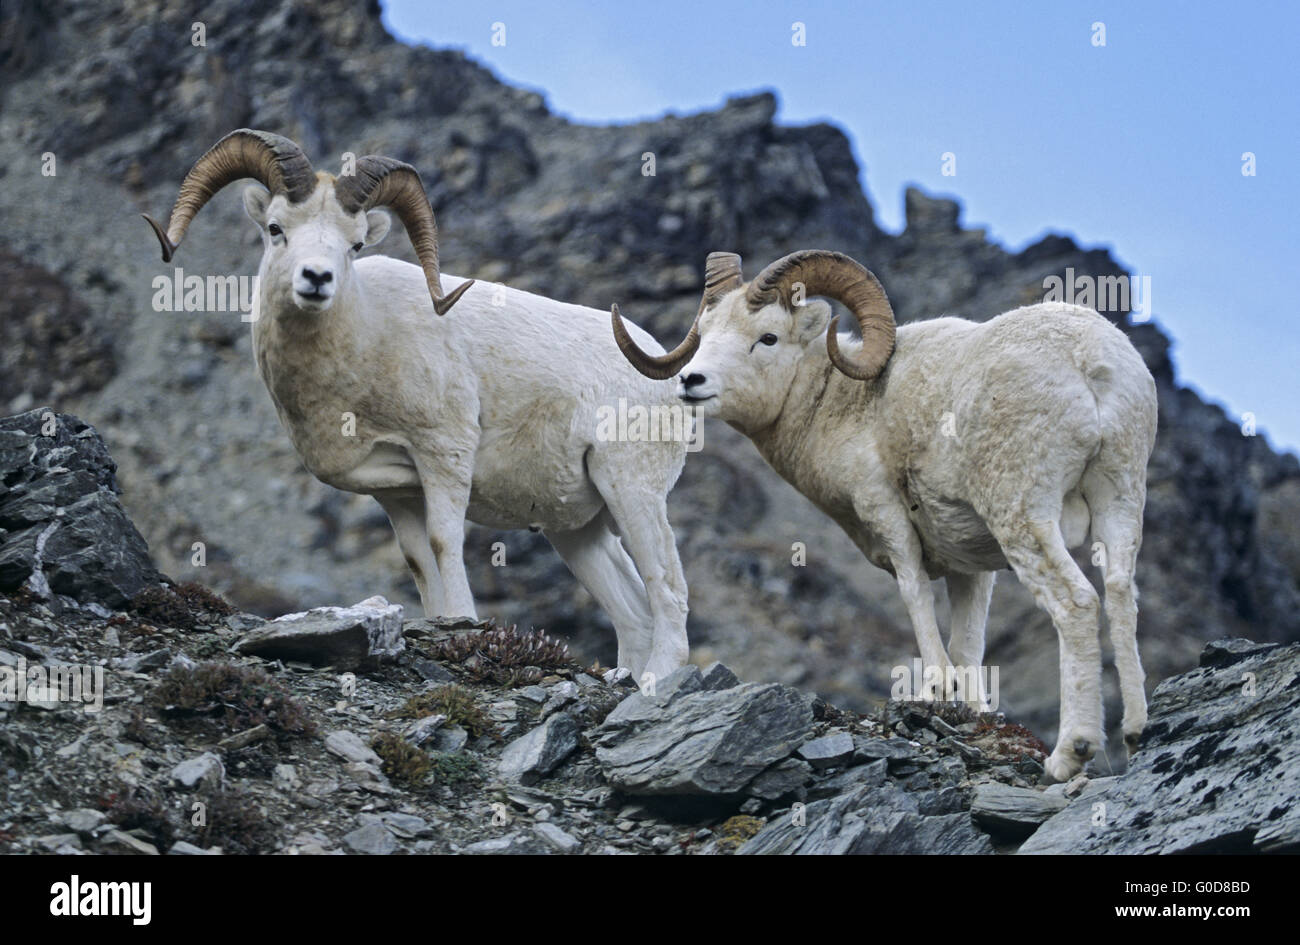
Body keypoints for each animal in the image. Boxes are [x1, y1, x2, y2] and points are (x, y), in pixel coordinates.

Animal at [141, 129, 691, 680]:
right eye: (277, 229)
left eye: (355, 243)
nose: (316, 279)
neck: (366, 340)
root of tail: (670, 374)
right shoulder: (397, 492)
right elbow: (419, 561)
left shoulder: (444, 456)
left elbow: (445, 543)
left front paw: (464, 625)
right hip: (578, 529)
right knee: (634, 612)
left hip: (631, 491)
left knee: (667, 589)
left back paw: (655, 682)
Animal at [612, 249, 1158, 781]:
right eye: (704, 335)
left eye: (766, 337)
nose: (691, 381)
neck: (839, 405)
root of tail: (1089, 363)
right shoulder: (973, 564)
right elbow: (969, 642)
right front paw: (972, 708)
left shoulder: (886, 514)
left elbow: (915, 593)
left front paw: (936, 690)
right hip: (1120, 500)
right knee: (1121, 594)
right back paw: (1135, 733)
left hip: (1023, 513)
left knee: (1077, 604)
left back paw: (1070, 754)